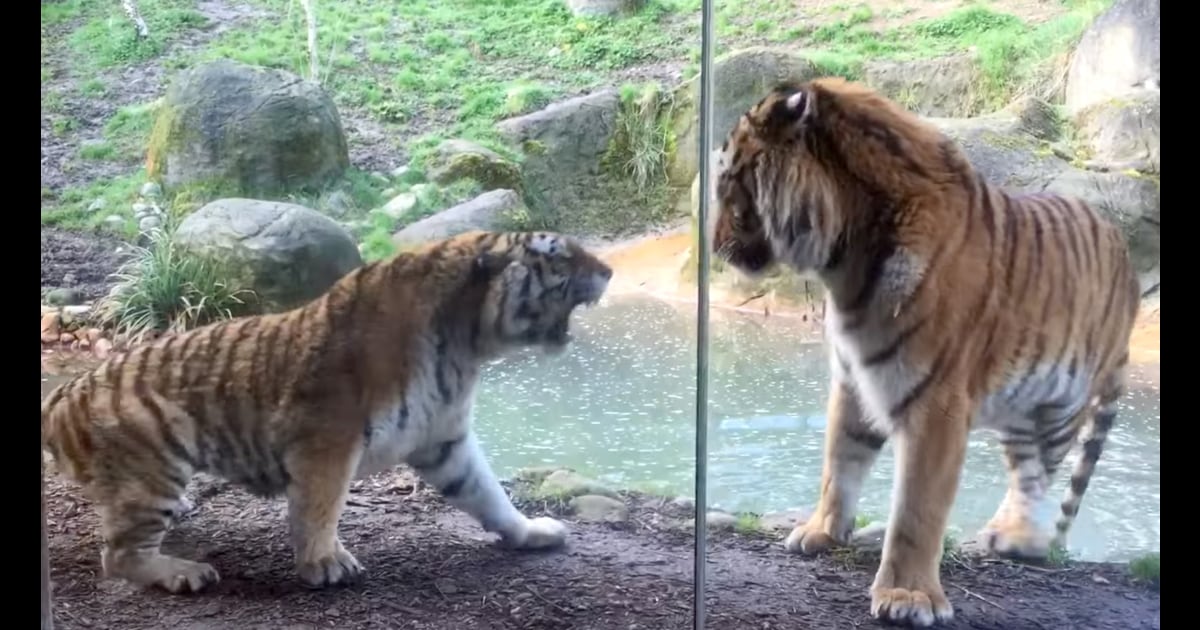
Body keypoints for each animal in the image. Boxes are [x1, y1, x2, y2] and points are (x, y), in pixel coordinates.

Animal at [41, 230, 613, 594]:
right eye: (559, 257)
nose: (610, 270)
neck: (468, 343)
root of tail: (63, 395)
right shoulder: (328, 436)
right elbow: (320, 505)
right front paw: (324, 563)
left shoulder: (444, 439)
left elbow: (489, 495)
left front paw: (531, 533)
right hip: (154, 466)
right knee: (118, 556)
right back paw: (183, 572)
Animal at [708, 77, 1141, 627]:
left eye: (727, 182)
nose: (714, 246)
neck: (846, 258)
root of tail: (1127, 260)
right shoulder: (853, 378)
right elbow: (839, 463)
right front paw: (822, 531)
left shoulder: (936, 401)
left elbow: (916, 511)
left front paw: (907, 596)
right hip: (1022, 410)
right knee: (1026, 469)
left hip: (1060, 405)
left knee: (1038, 476)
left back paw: (1019, 539)